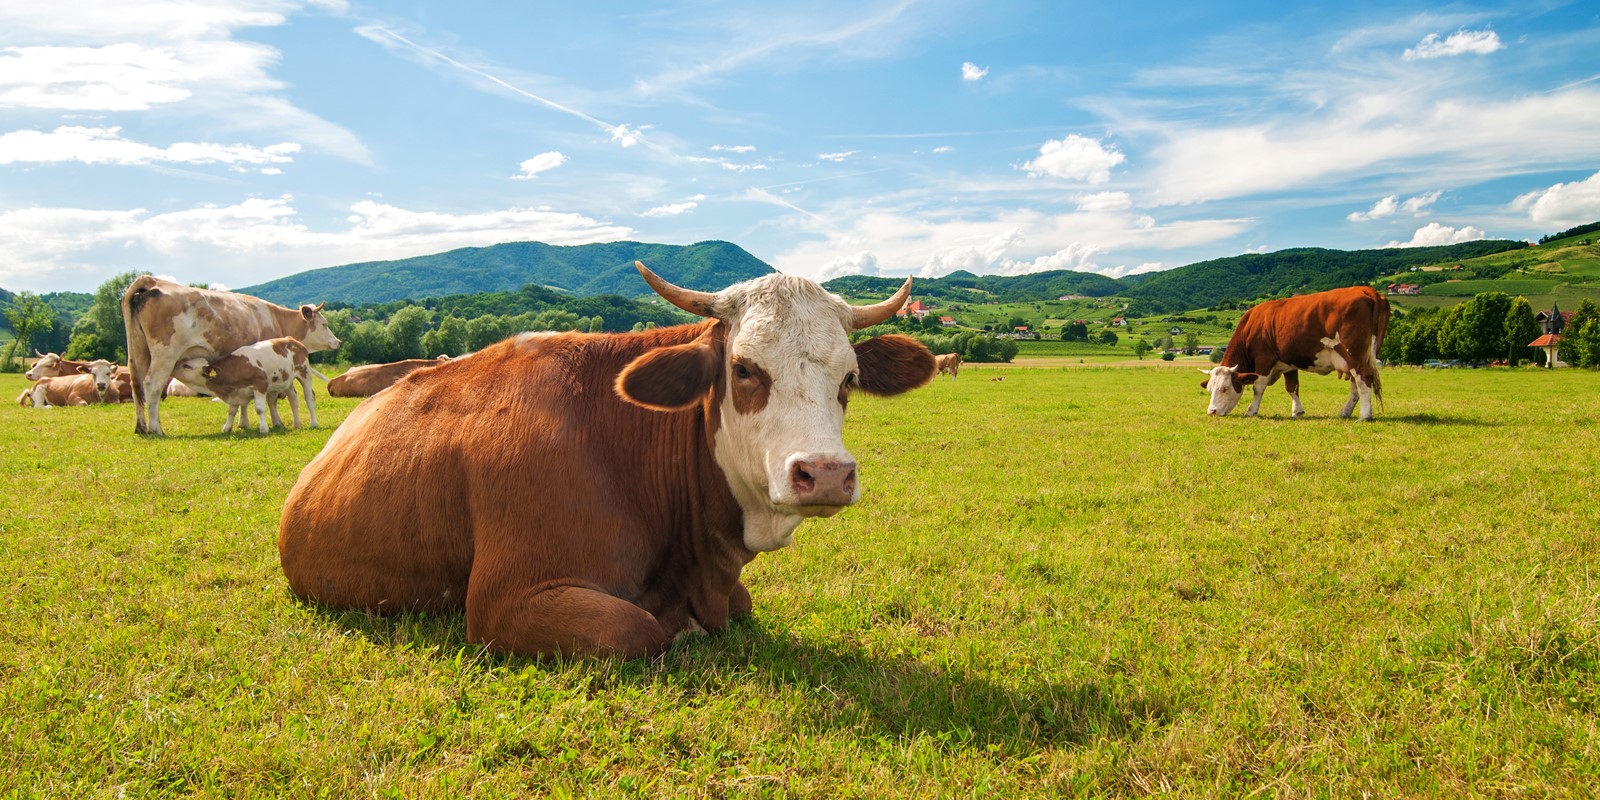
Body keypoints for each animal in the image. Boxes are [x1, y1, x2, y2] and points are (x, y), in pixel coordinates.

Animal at [171, 338, 324, 434]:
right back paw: (297, 424)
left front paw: (263, 429)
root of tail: (293, 340)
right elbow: (232, 411)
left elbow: (260, 409)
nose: (174, 366)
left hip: (305, 373)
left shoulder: (260, 384)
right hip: (287, 380)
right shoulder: (235, 393)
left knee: (309, 398)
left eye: (187, 365)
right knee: (293, 398)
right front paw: (227, 428)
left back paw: (313, 423)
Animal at [1199, 286, 1389, 420]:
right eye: (1209, 389)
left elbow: (1258, 387)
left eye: (1224, 389)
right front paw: (1297, 411)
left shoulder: (1264, 358)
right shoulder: (1288, 362)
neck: (1251, 326)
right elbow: (1292, 387)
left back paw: (1365, 415)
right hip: (1359, 358)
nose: (1211, 411)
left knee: (1363, 380)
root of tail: (1365, 289)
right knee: (1356, 386)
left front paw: (1251, 410)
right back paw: (1345, 412)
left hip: (1355, 354)